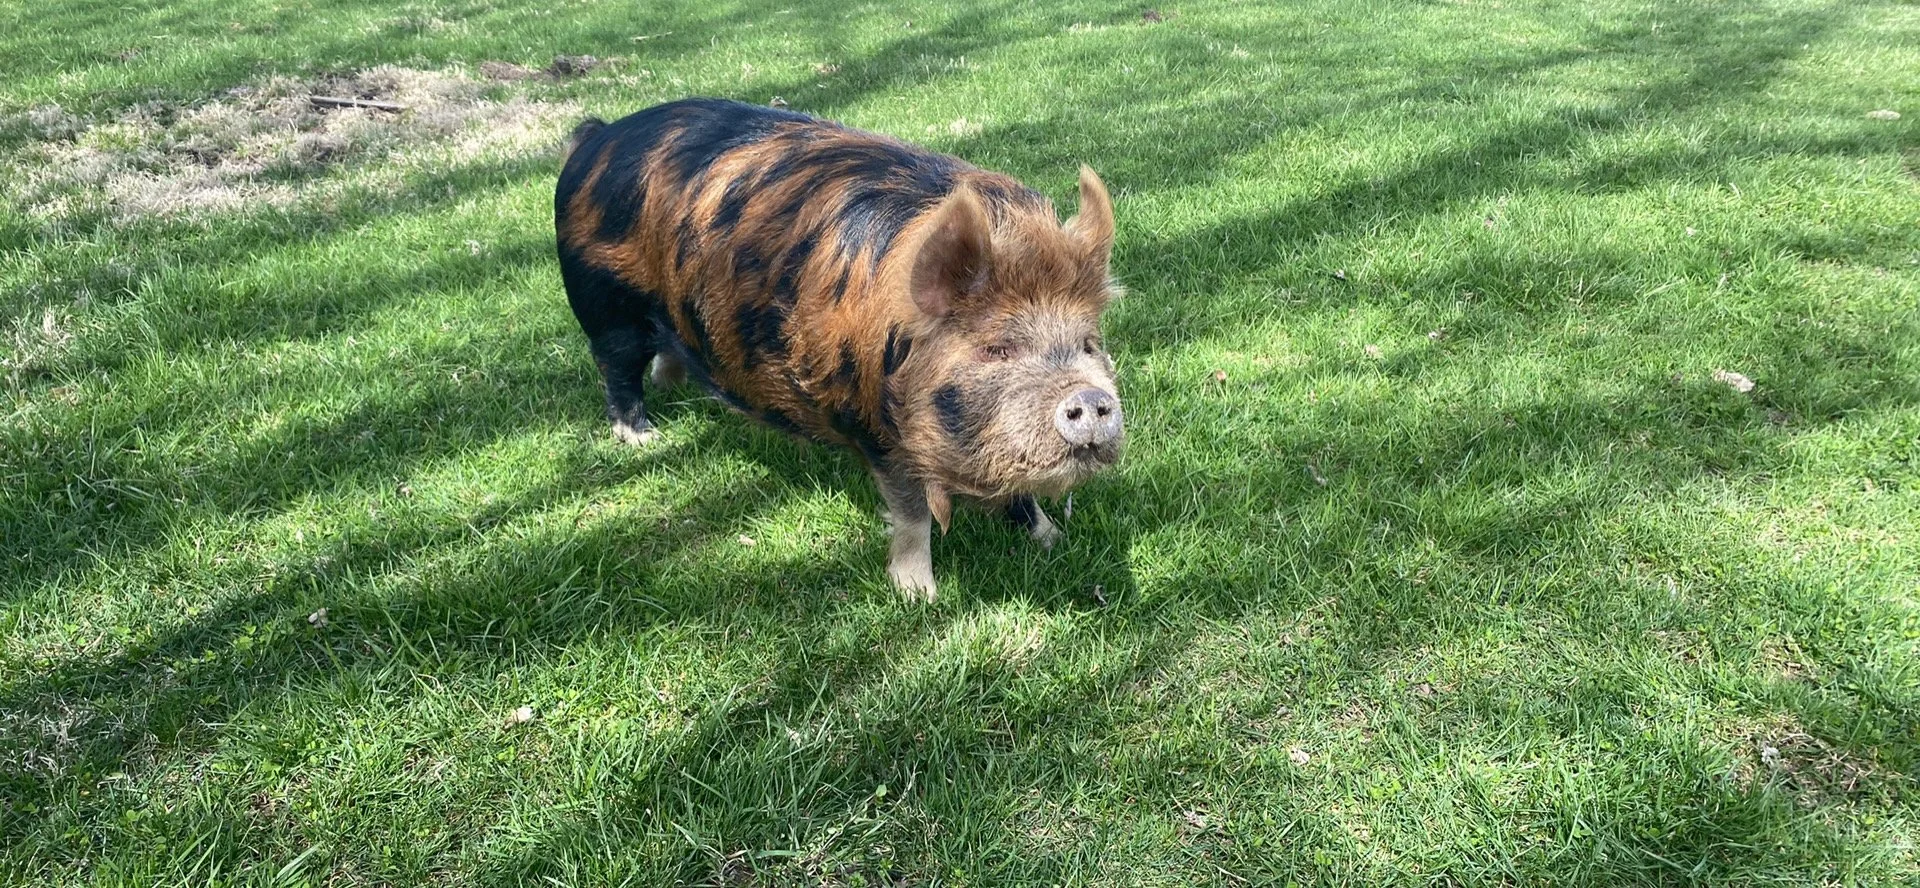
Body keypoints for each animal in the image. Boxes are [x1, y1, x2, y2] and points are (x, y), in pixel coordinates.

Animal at [553, 98, 1124, 599]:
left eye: (1088, 344)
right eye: (996, 349)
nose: (1091, 398)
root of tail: (596, 138)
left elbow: (1020, 493)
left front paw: (1055, 541)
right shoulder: (879, 432)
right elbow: (913, 516)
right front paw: (920, 596)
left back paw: (673, 387)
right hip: (606, 307)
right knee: (617, 371)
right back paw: (641, 438)